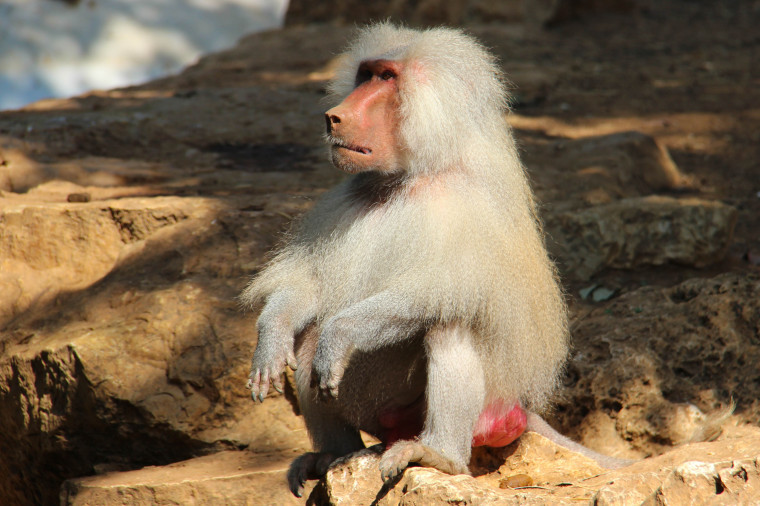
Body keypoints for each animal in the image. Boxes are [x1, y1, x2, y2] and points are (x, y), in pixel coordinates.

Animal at [241, 23, 631, 498]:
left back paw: (437, 455)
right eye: (365, 74)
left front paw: (342, 333)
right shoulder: (344, 202)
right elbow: (308, 288)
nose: (334, 116)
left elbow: (434, 293)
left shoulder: (461, 204)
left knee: (449, 323)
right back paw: (332, 456)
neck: (410, 177)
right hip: (380, 417)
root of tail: (517, 406)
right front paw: (270, 340)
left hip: (477, 409)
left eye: (387, 78)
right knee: (310, 339)